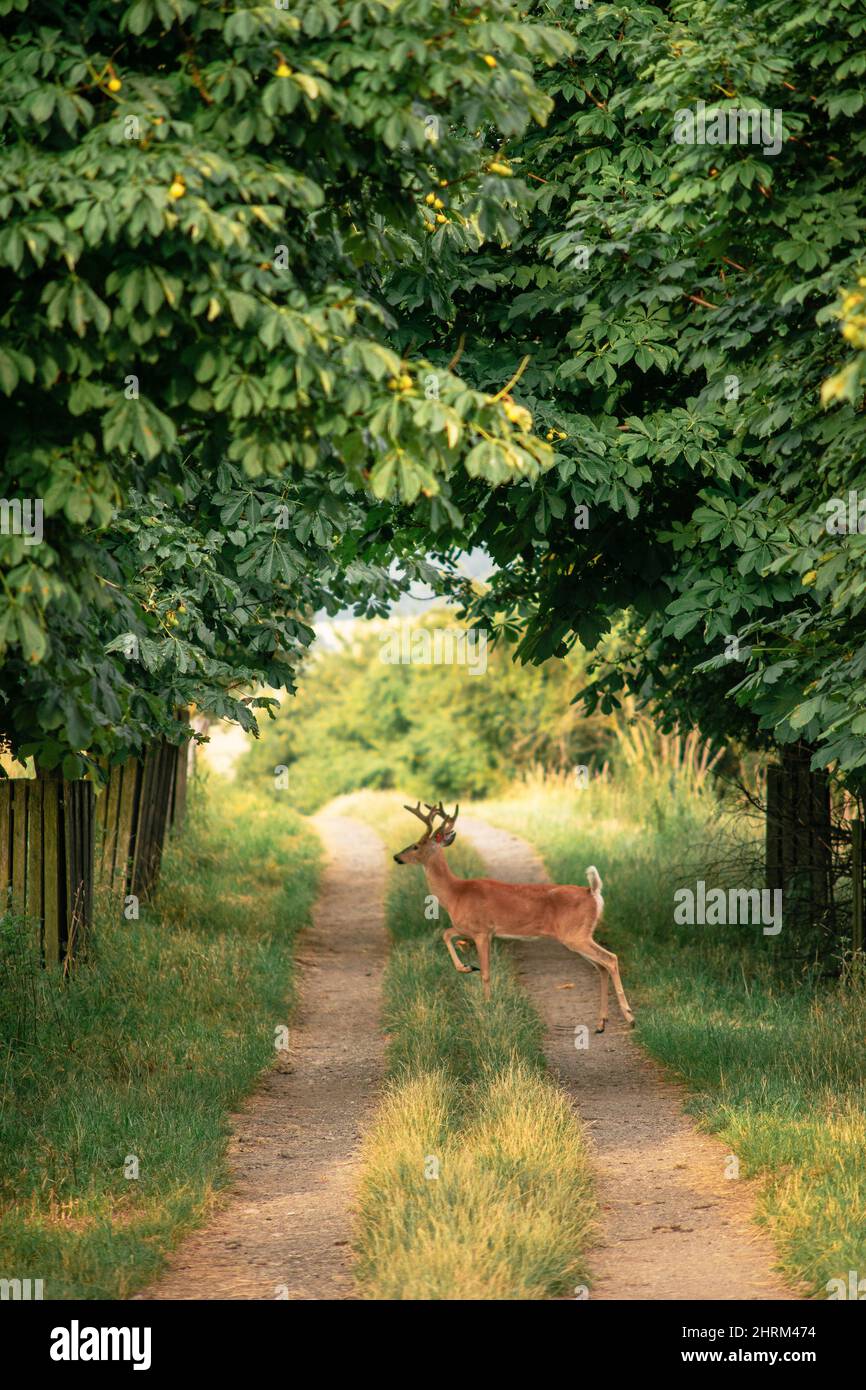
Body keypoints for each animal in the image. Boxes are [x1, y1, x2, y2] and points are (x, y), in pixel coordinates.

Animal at [393, 800, 635, 1033]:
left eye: (415, 845)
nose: (396, 857)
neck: (455, 894)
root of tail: (592, 892)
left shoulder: (482, 931)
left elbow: (485, 971)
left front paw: (486, 1007)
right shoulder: (470, 929)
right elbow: (446, 934)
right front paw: (467, 968)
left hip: (576, 935)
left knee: (610, 959)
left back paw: (630, 1017)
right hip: (580, 936)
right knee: (601, 967)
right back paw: (601, 1023)